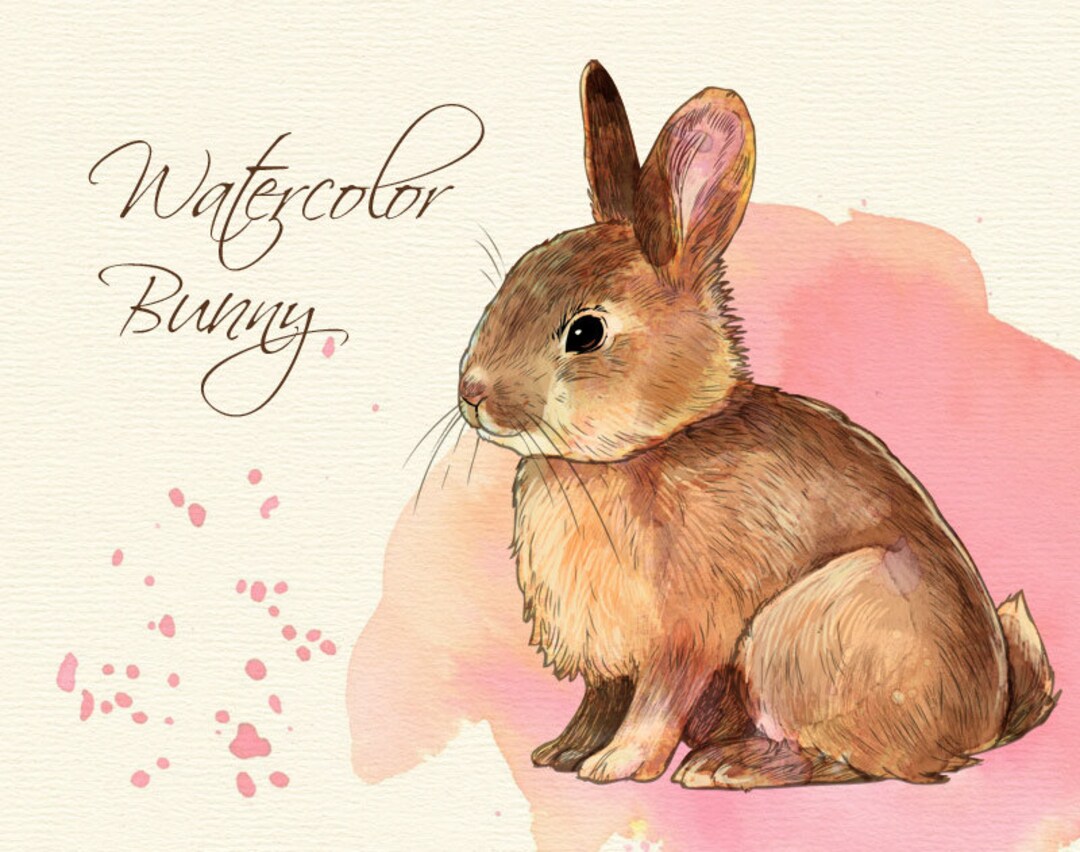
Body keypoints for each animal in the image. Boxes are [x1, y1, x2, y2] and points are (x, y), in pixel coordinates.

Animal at [455, 60, 1057, 788]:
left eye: (586, 332)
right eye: (511, 280)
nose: (471, 394)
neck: (645, 447)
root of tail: (985, 721)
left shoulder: (685, 635)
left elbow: (655, 705)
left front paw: (615, 766)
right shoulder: (606, 655)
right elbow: (600, 702)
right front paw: (563, 753)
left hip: (803, 632)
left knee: (842, 761)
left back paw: (727, 766)